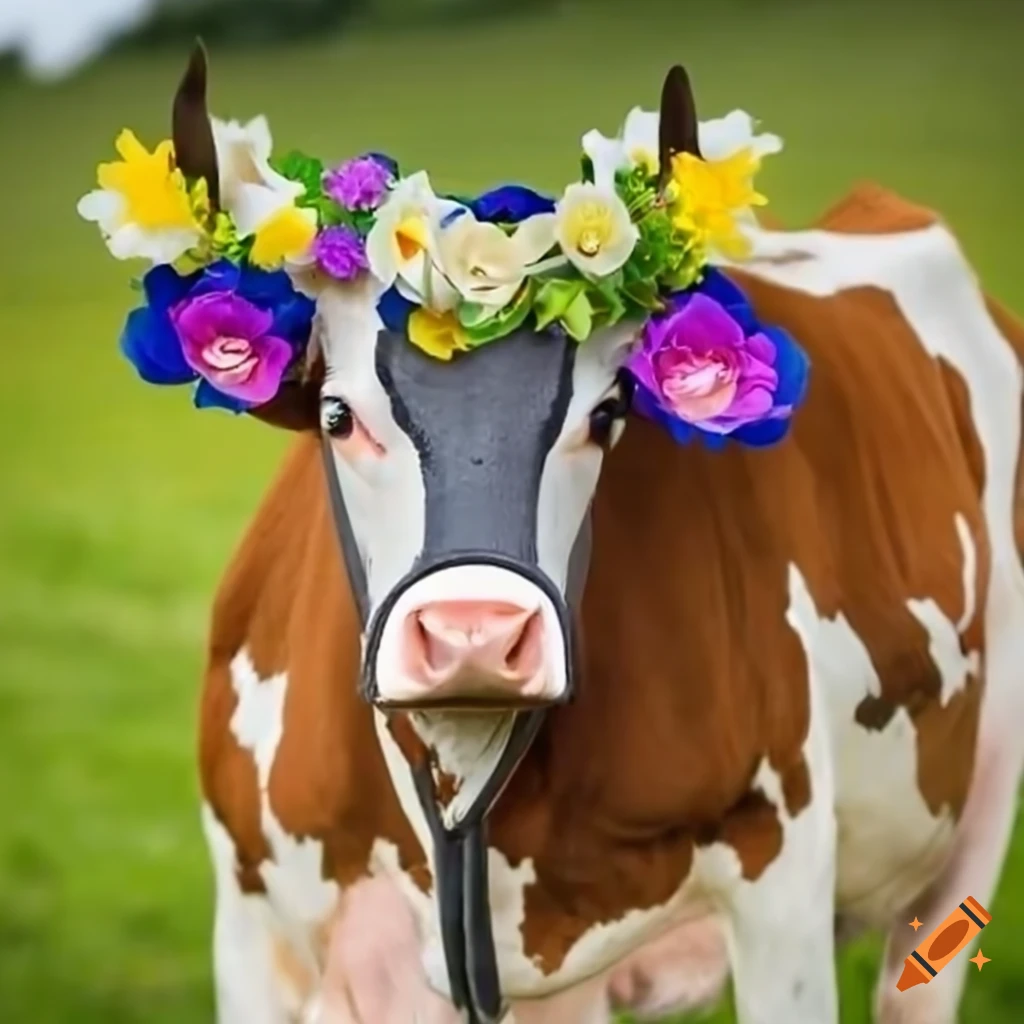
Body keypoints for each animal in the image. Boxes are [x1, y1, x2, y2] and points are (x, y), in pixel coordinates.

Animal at [176, 57, 1024, 1024]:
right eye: (336, 415)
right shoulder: (250, 924)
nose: (475, 637)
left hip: (980, 802)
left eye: (608, 413)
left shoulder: (783, 883)